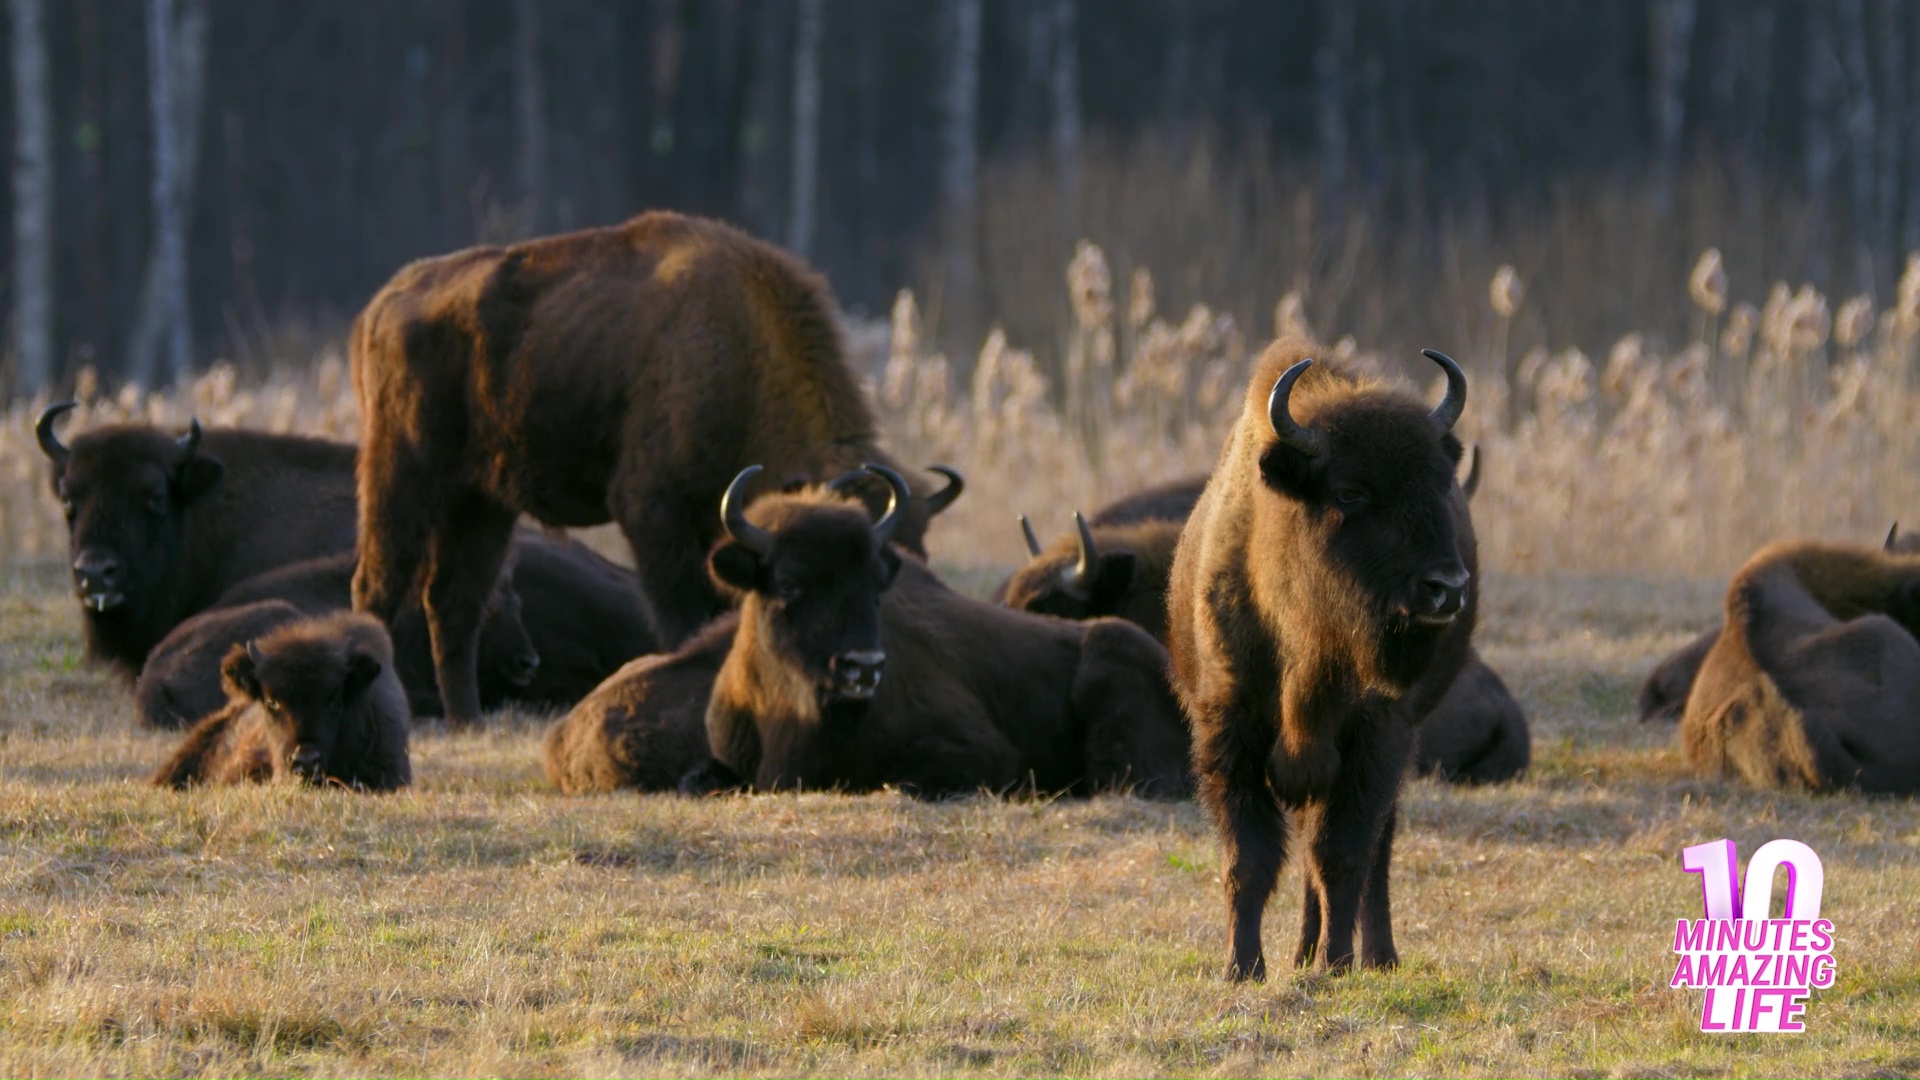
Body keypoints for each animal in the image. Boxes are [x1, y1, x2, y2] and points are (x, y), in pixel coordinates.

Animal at [348, 211, 960, 726]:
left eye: (887, 572)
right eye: (805, 579)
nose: (869, 663)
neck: (736, 350)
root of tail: (382, 305)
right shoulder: (654, 517)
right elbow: (684, 617)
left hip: (482, 504)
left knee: (453, 603)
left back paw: (468, 721)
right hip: (402, 477)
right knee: (379, 586)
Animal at [1169, 340, 1477, 981]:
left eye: (1441, 484)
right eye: (1350, 492)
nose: (1448, 588)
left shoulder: (1377, 735)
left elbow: (1343, 854)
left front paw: (1337, 964)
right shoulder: (1228, 729)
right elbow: (1249, 857)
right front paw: (1243, 967)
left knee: (1372, 852)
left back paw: (1373, 956)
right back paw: (1302, 951)